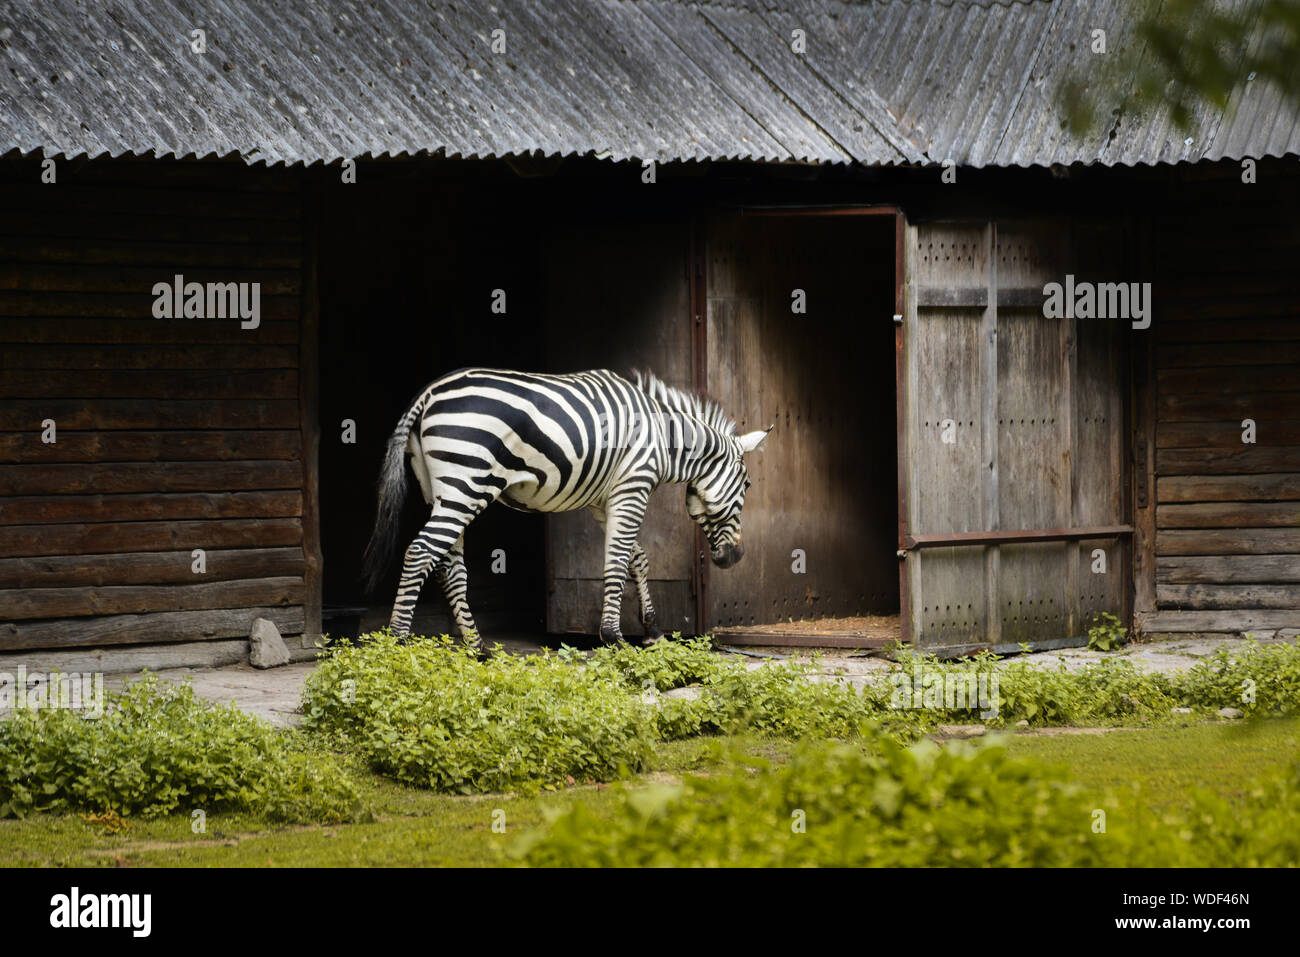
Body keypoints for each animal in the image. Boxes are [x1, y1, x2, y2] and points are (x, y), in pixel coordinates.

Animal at [361, 368, 771, 647]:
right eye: (748, 485)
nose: (735, 558)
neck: (664, 439)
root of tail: (427, 395)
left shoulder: (607, 500)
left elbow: (636, 558)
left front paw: (652, 628)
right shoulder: (633, 487)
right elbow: (617, 561)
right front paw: (613, 636)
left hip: (442, 491)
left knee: (450, 566)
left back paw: (478, 648)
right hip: (467, 484)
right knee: (420, 552)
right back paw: (397, 642)